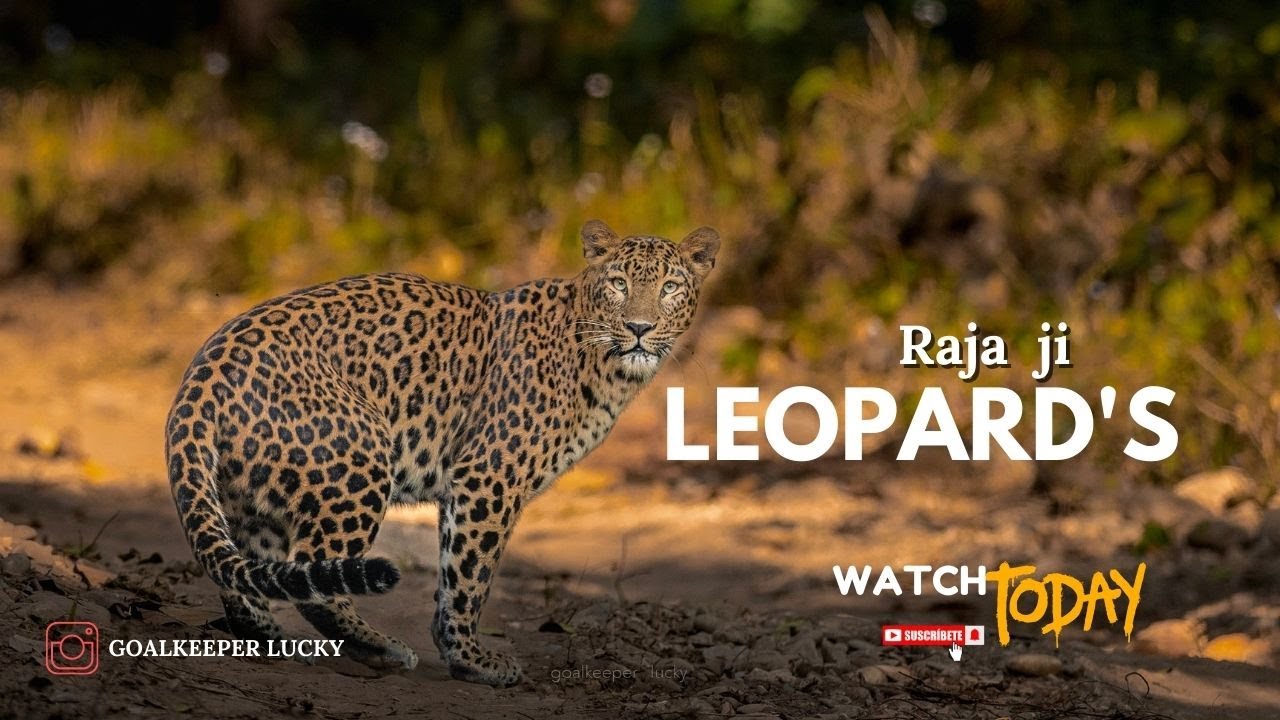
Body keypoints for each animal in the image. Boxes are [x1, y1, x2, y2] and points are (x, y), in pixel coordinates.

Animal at [164, 220, 719, 686]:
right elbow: (472, 575)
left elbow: (455, 566)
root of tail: (200, 376)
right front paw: (473, 660)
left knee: (248, 572)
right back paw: (380, 648)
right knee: (315, 570)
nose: (640, 328)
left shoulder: (465, 485)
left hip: (251, 493)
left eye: (670, 287)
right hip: (361, 460)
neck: (604, 365)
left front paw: (456, 649)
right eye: (619, 283)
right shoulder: (491, 474)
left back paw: (273, 641)